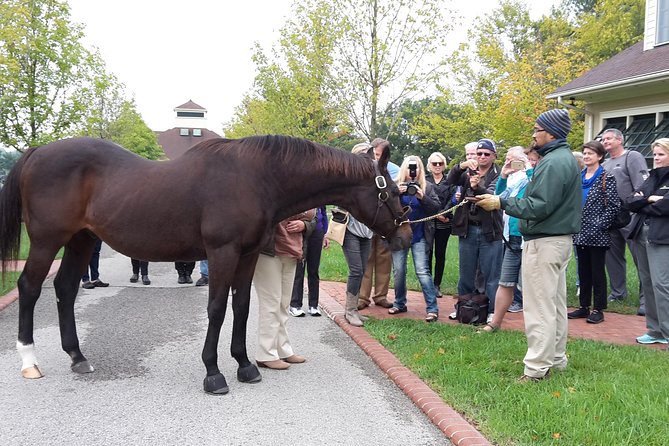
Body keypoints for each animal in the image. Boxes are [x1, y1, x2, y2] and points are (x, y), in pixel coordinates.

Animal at [0, 135, 412, 394]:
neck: (256, 178)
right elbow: (216, 308)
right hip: (47, 241)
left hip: (82, 240)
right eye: (391, 191)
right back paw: (29, 361)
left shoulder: (247, 255)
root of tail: (37, 152)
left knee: (66, 289)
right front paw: (213, 373)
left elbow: (242, 306)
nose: (406, 237)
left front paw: (245, 365)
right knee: (29, 288)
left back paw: (78, 356)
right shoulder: (221, 252)